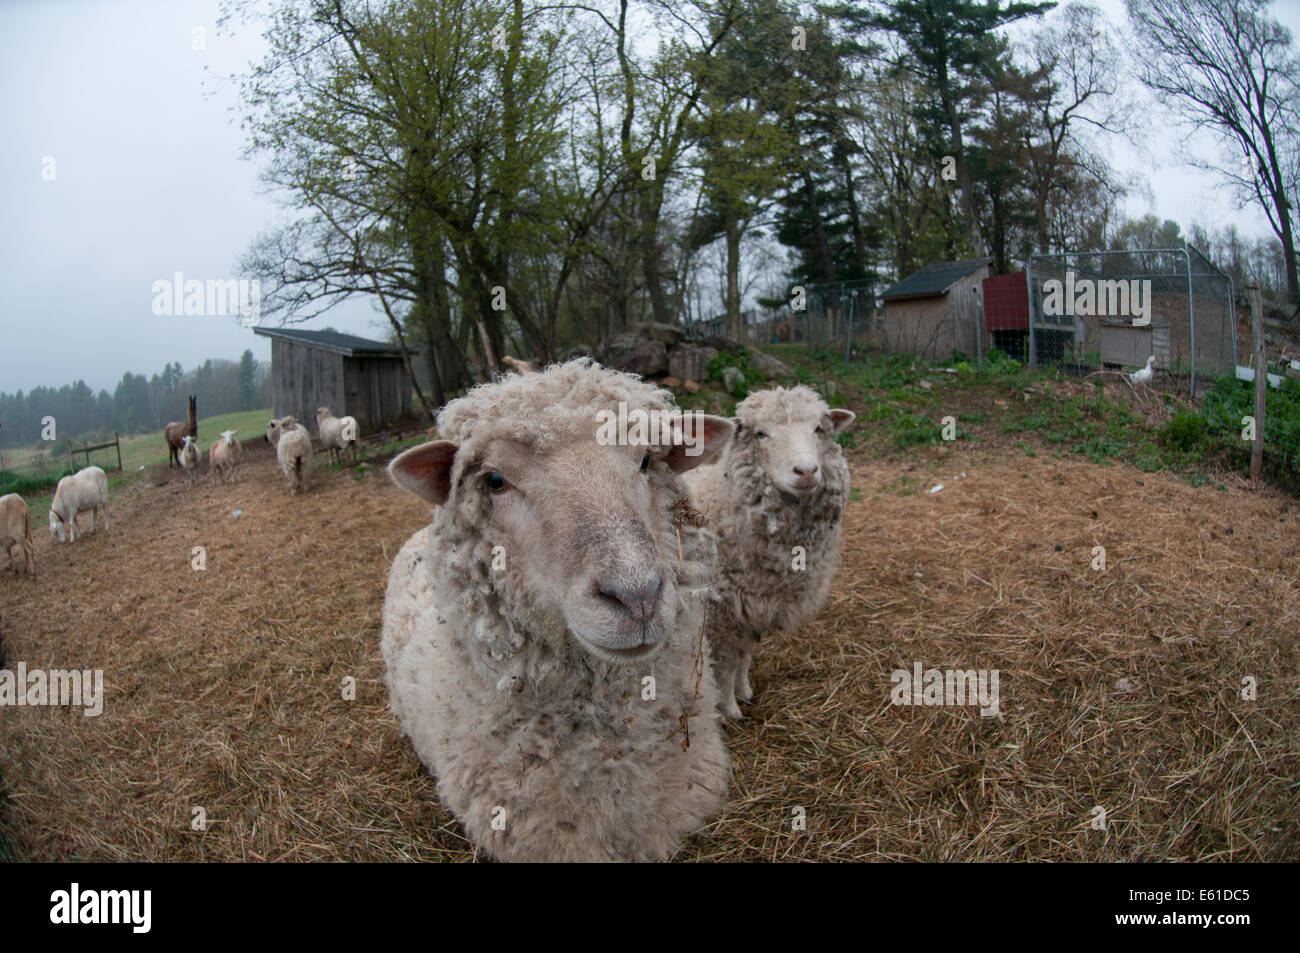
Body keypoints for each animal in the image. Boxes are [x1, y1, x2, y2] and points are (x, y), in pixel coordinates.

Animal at [683, 385, 855, 720]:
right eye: (761, 433)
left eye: (818, 428)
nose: (806, 471)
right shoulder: (720, 619)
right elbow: (726, 666)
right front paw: (729, 709)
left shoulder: (752, 611)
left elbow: (744, 657)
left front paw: (744, 692)